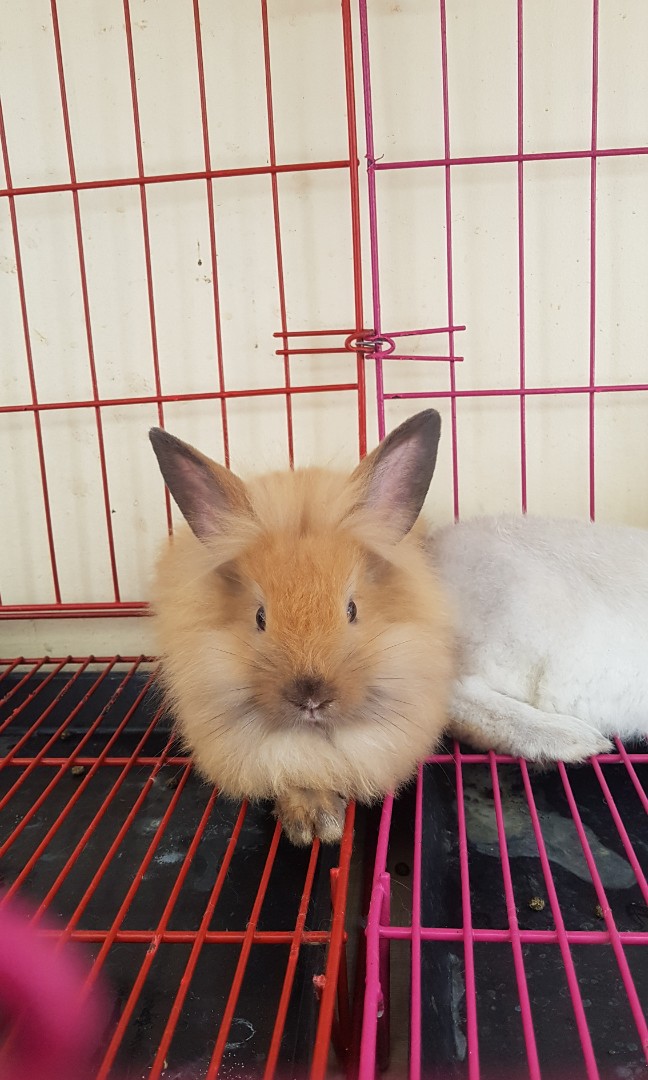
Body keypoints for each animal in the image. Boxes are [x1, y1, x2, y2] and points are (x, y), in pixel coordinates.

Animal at [149, 410, 454, 845]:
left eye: (352, 609)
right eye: (260, 617)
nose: (311, 697)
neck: (312, 737)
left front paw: (327, 824)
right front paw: (309, 824)